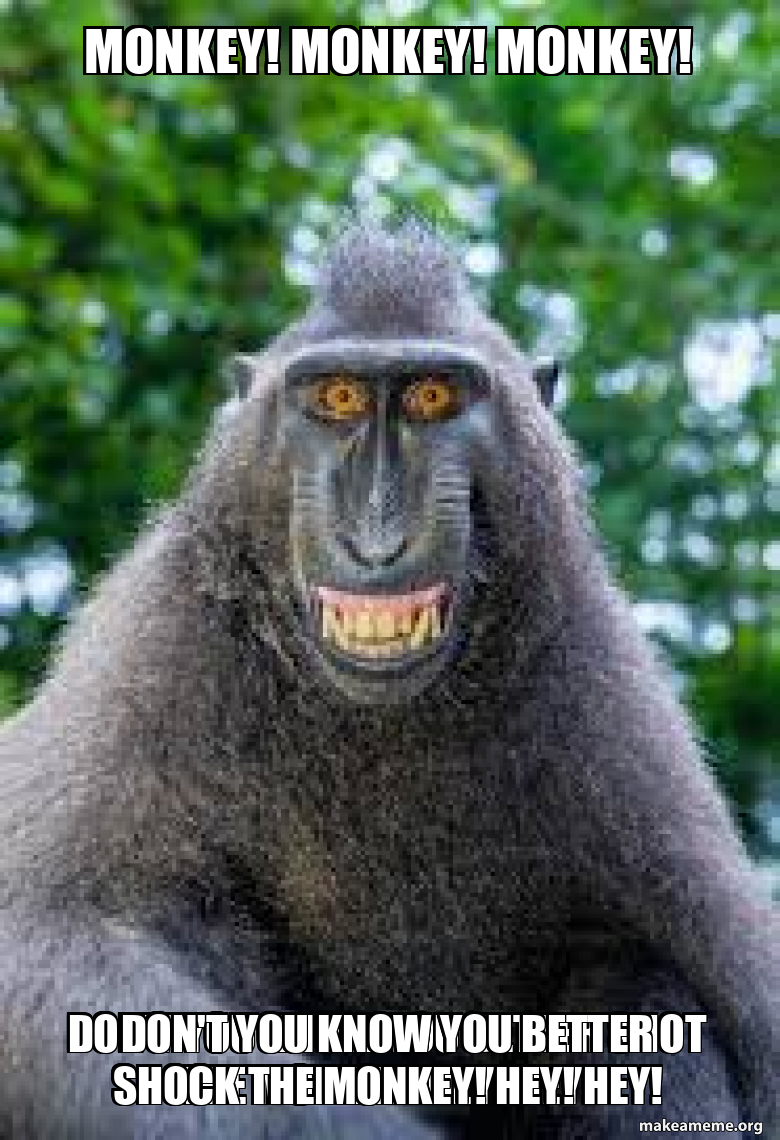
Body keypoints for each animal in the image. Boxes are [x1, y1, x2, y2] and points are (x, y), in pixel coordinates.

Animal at [0, 220, 777, 1140]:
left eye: (434, 398)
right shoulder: (152, 645)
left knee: (641, 981)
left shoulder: (604, 690)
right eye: (337, 398)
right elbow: (54, 935)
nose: (377, 532)